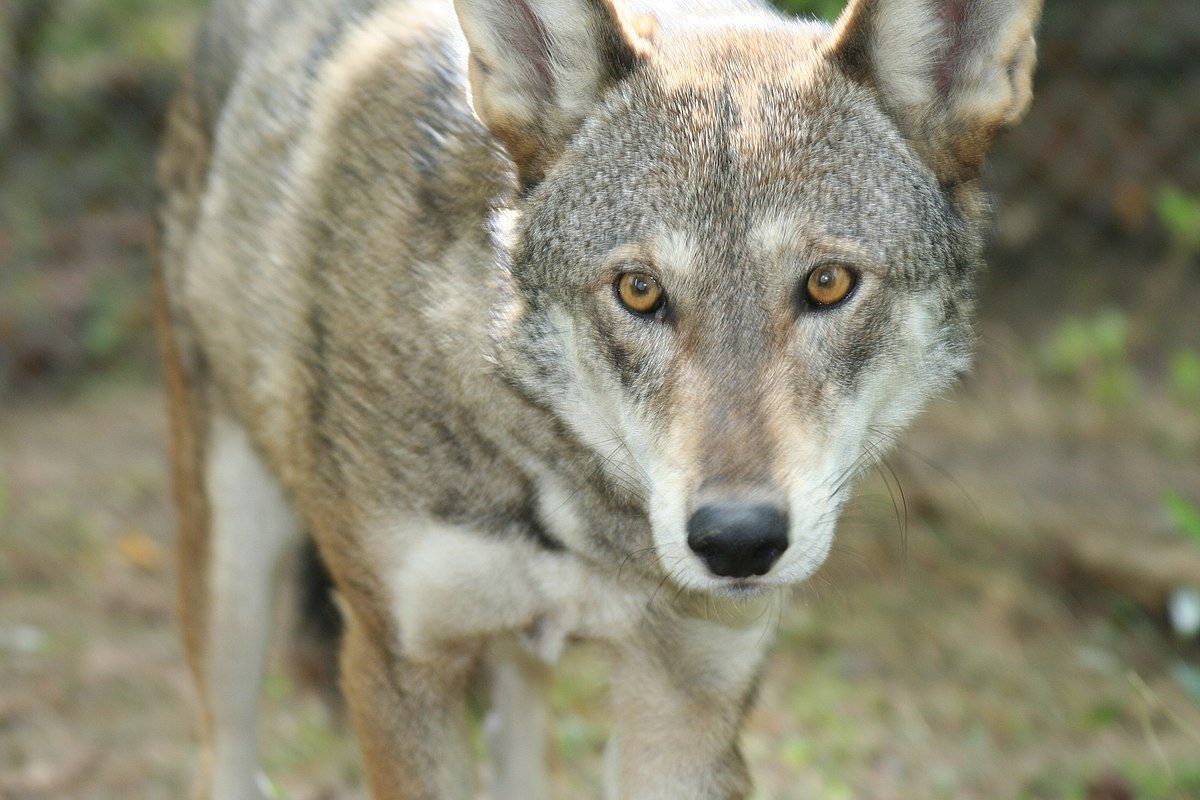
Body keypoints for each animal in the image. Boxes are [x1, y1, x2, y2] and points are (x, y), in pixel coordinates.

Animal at [156, 0, 1042, 796]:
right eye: (639, 291)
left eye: (828, 283)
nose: (738, 541)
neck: (575, 503)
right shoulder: (399, 666)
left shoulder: (690, 701)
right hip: (235, 575)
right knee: (223, 755)